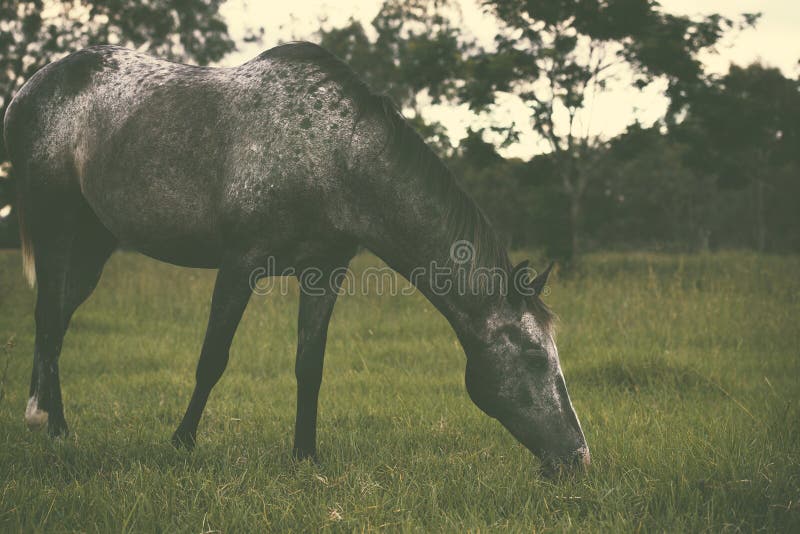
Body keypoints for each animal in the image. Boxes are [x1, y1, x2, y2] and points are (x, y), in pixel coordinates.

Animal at [3, 42, 589, 473]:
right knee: (49, 319)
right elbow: (212, 358)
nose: (578, 458)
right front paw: (182, 442)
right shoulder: (240, 264)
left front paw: (305, 455)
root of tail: (29, 88)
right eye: (535, 359)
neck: (333, 153)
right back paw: (50, 426)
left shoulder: (323, 273)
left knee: (58, 319)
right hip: (58, 230)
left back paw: (51, 421)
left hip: (94, 243)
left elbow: (310, 365)